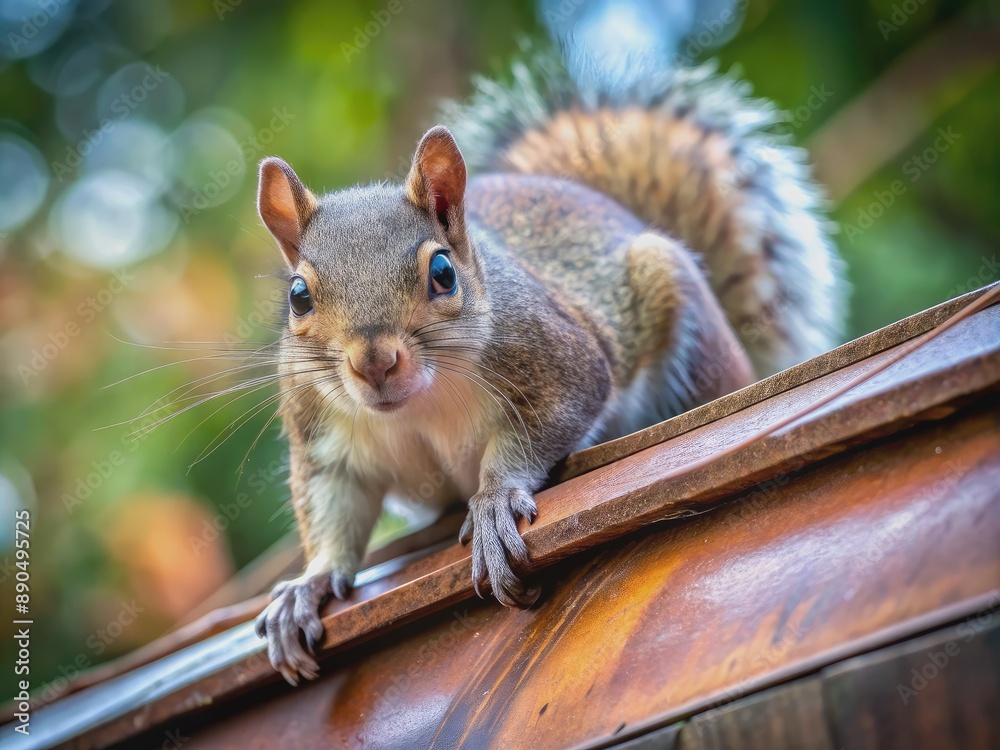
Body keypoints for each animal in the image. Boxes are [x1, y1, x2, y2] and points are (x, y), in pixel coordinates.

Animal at [252, 46, 846, 684]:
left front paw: (492, 503)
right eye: (298, 297)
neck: (419, 405)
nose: (374, 362)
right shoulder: (323, 437)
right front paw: (308, 586)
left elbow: (546, 422)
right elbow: (335, 508)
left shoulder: (556, 360)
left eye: (443, 273)